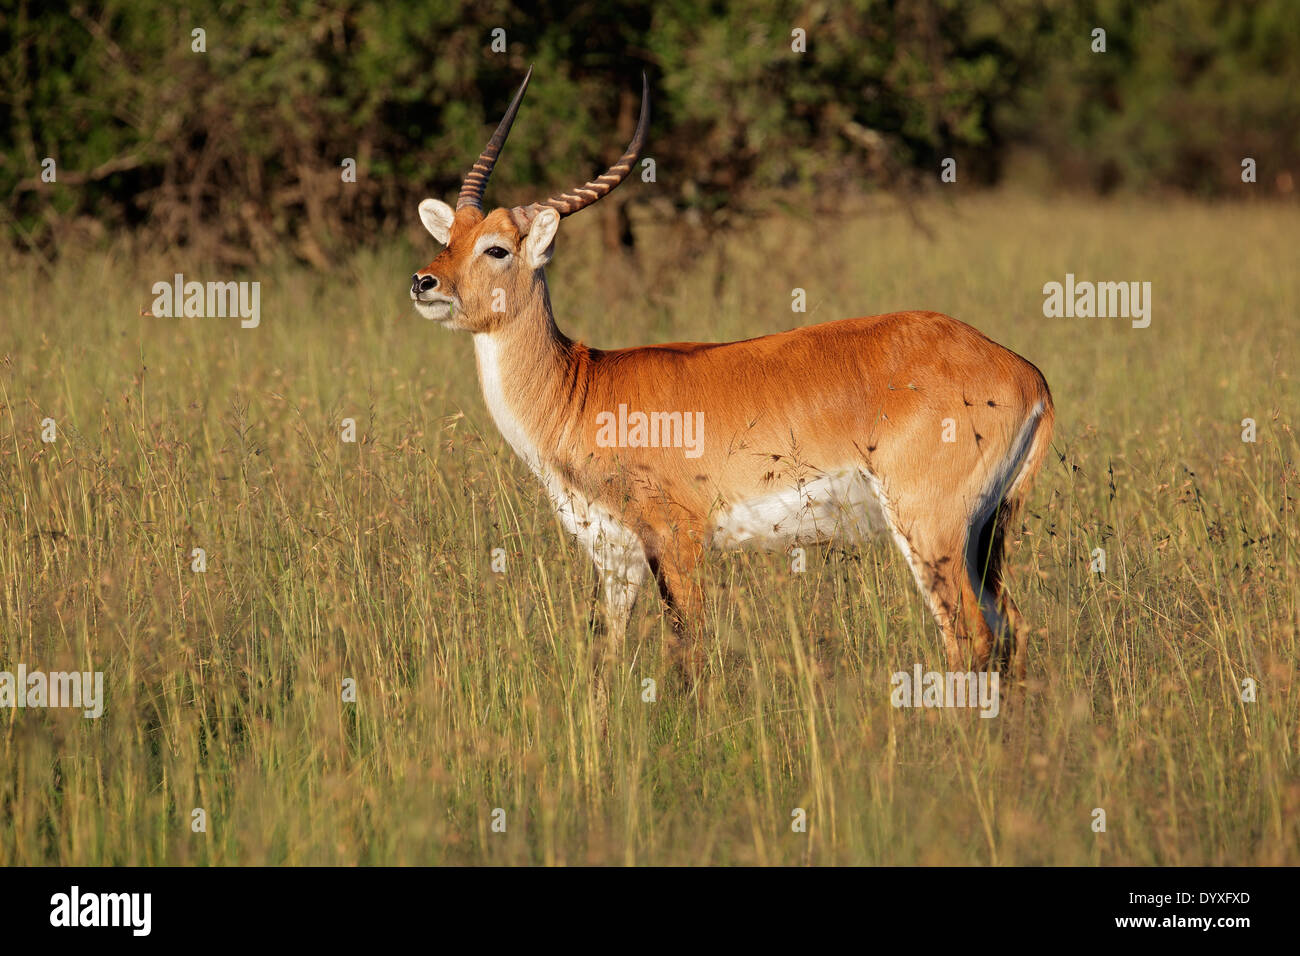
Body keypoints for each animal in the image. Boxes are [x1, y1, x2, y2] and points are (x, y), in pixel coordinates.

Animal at [411, 69, 1054, 676]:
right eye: (449, 236)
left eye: (497, 248)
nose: (423, 282)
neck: (584, 387)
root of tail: (1028, 375)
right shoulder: (616, 558)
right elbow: (607, 656)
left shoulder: (679, 541)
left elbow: (688, 655)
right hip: (983, 537)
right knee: (1014, 629)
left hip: (931, 529)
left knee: (971, 636)